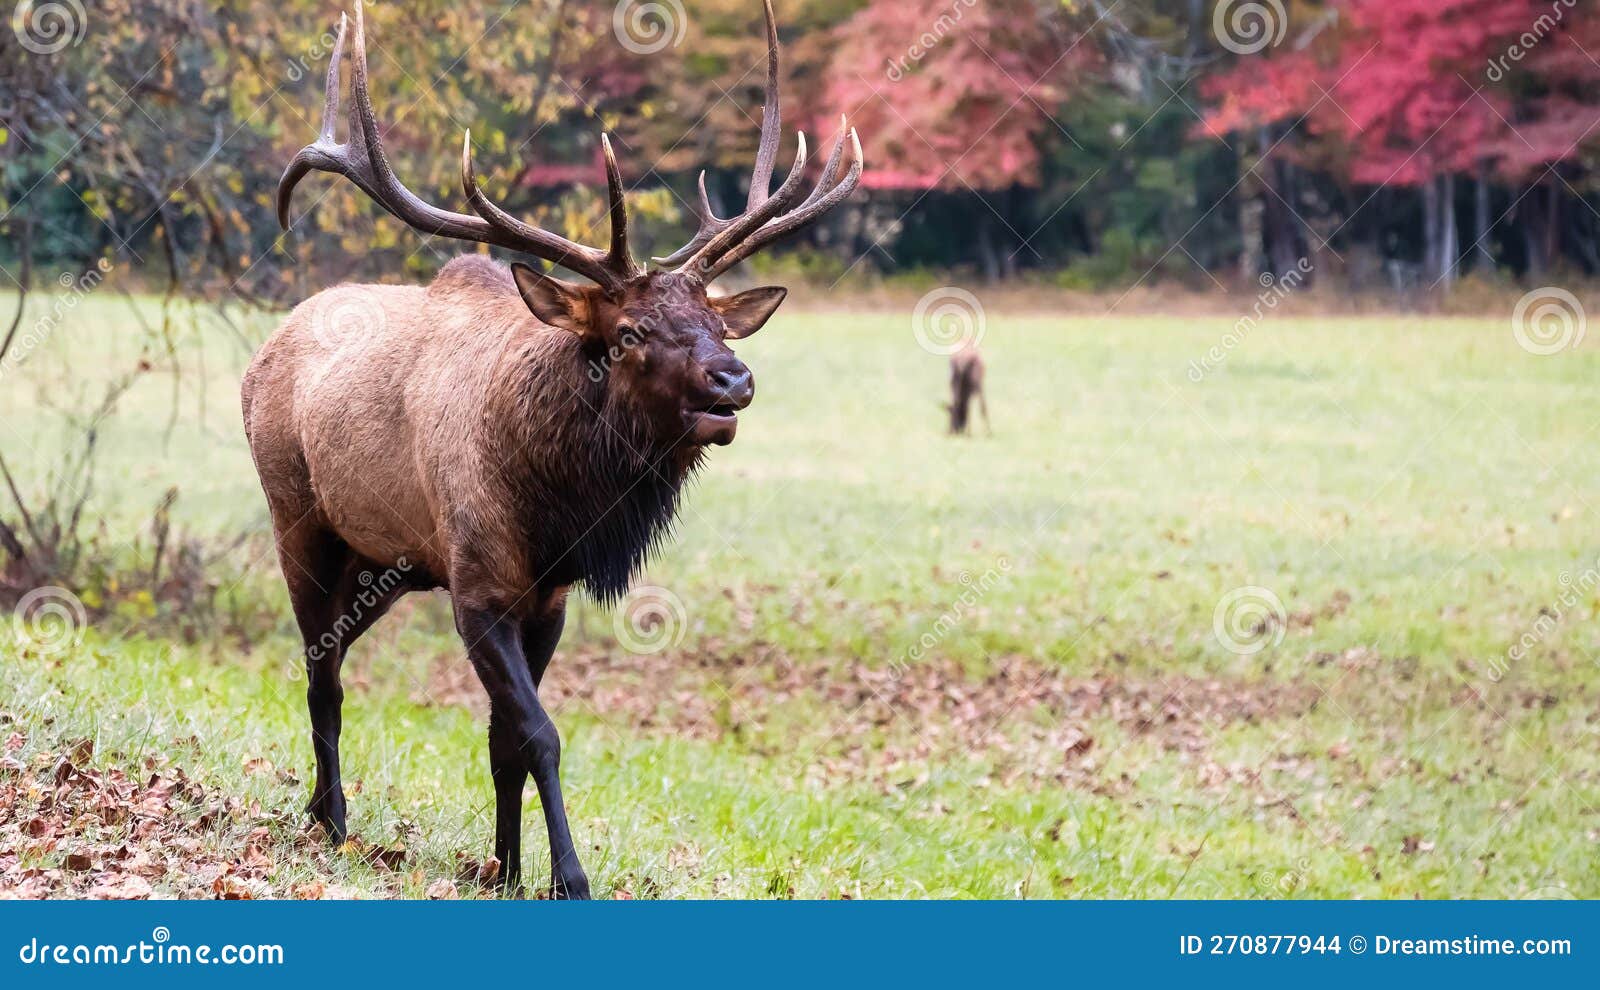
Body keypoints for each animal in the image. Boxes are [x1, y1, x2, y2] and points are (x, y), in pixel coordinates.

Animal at [240, 0, 860, 898]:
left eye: (715, 319)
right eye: (630, 332)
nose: (733, 379)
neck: (556, 514)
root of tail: (266, 348)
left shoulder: (550, 598)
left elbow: (504, 738)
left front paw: (504, 867)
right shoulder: (479, 586)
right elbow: (539, 733)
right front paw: (568, 875)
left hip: (382, 564)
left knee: (329, 656)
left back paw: (322, 810)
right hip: (299, 521)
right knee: (322, 669)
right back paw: (330, 819)